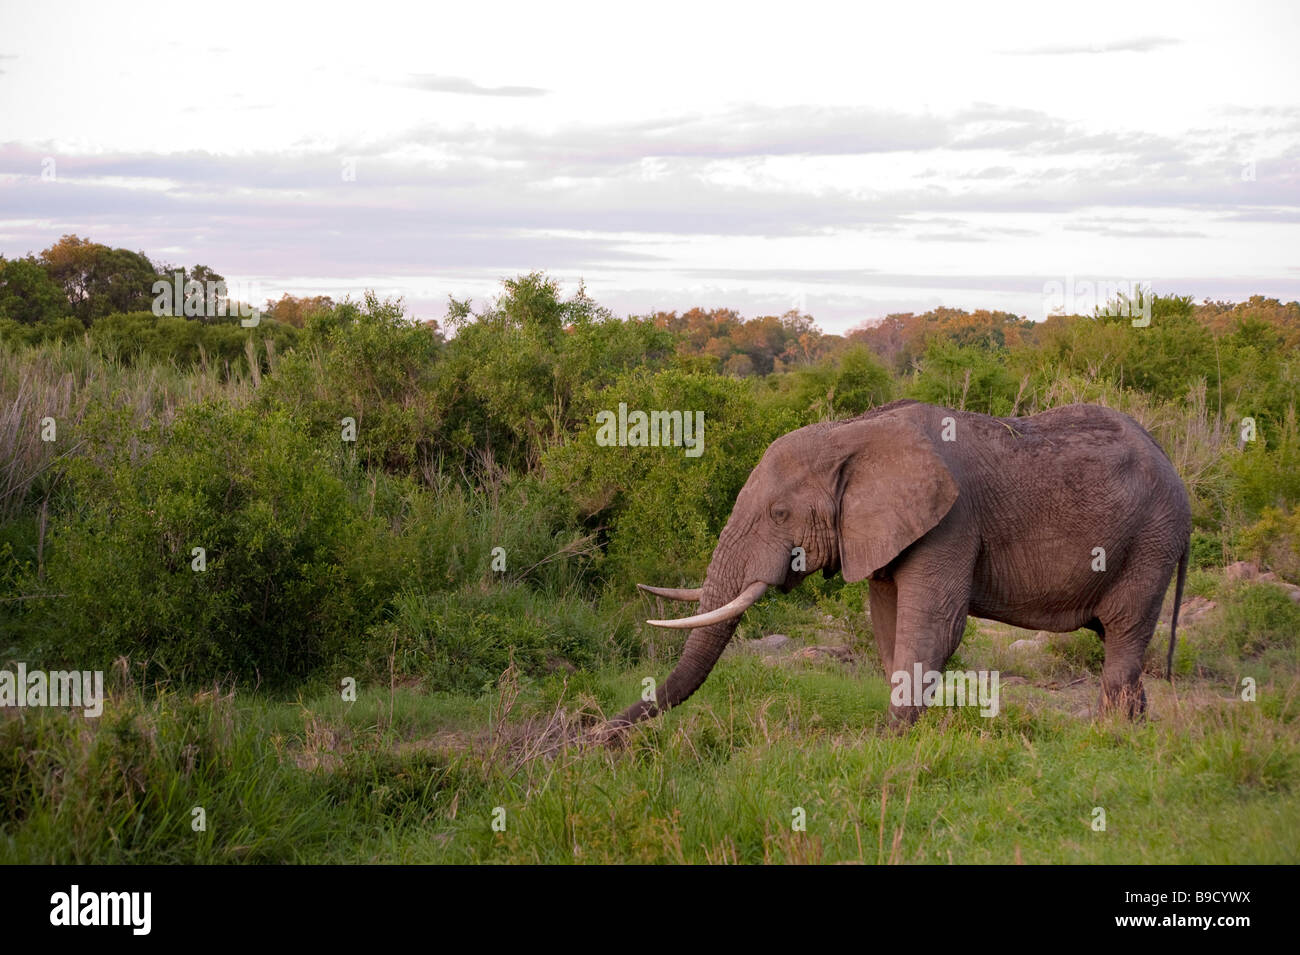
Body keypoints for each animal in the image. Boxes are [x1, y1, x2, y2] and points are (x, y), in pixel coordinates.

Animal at [608, 399, 1191, 732]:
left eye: (779, 514)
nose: (602, 738)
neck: (852, 433)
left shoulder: (953, 521)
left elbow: (934, 624)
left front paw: (888, 739)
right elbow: (887, 621)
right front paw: (903, 734)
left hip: (1152, 539)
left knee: (1124, 633)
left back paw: (1110, 737)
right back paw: (1138, 732)